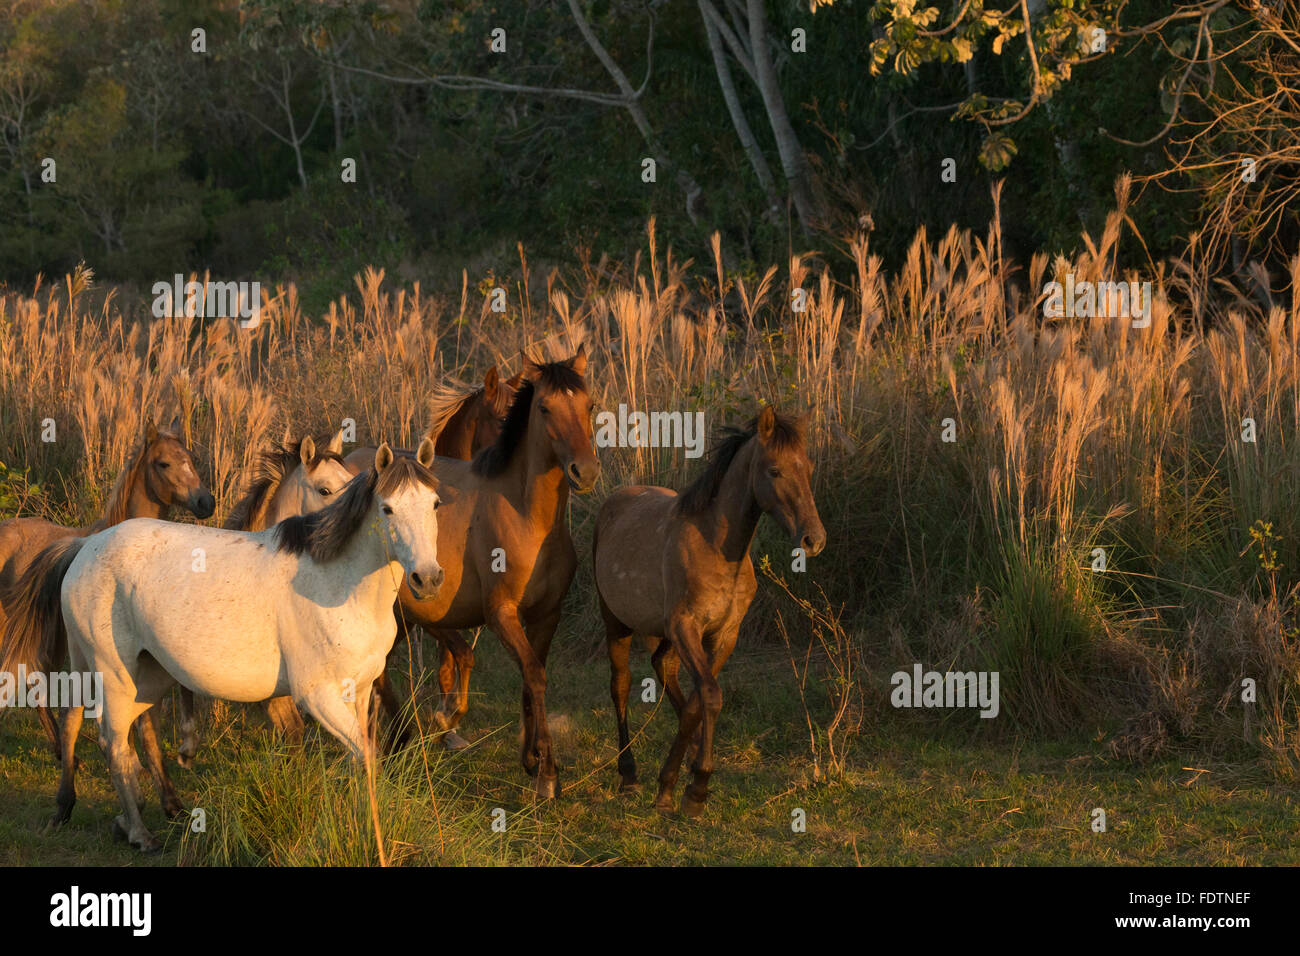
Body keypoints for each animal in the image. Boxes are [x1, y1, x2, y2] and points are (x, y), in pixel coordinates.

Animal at [593, 406, 826, 816]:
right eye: (774, 470)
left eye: (808, 467)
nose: (813, 539)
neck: (717, 549)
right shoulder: (685, 628)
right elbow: (711, 697)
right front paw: (692, 787)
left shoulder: (723, 634)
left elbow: (699, 702)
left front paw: (680, 784)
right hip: (616, 622)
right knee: (620, 686)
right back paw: (629, 775)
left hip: (662, 633)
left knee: (663, 668)